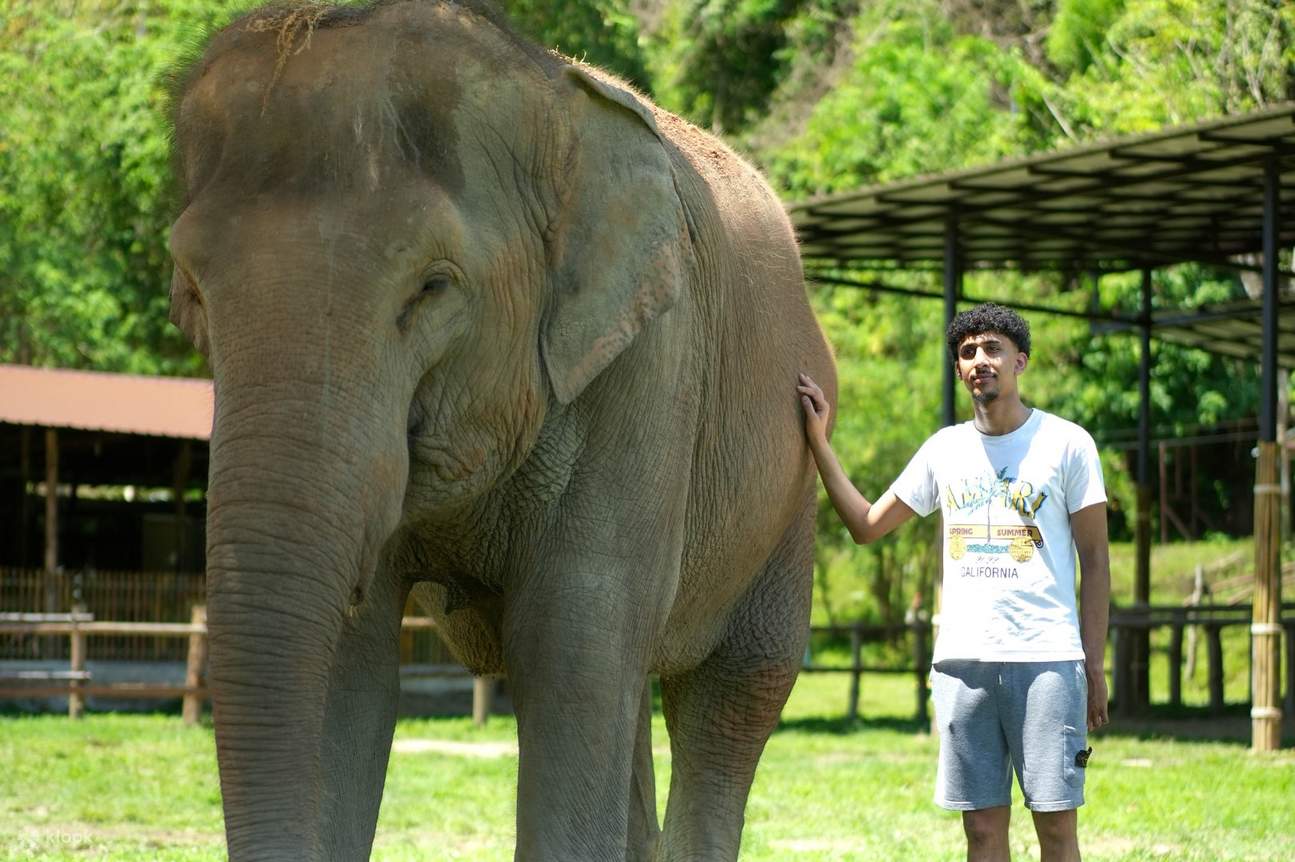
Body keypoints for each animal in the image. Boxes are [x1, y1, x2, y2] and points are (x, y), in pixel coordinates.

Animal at [166, 1, 837, 859]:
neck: (550, 95)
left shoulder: (653, 363)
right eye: (192, 290)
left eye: (432, 286)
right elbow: (354, 664)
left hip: (788, 502)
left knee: (731, 695)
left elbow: (572, 638)